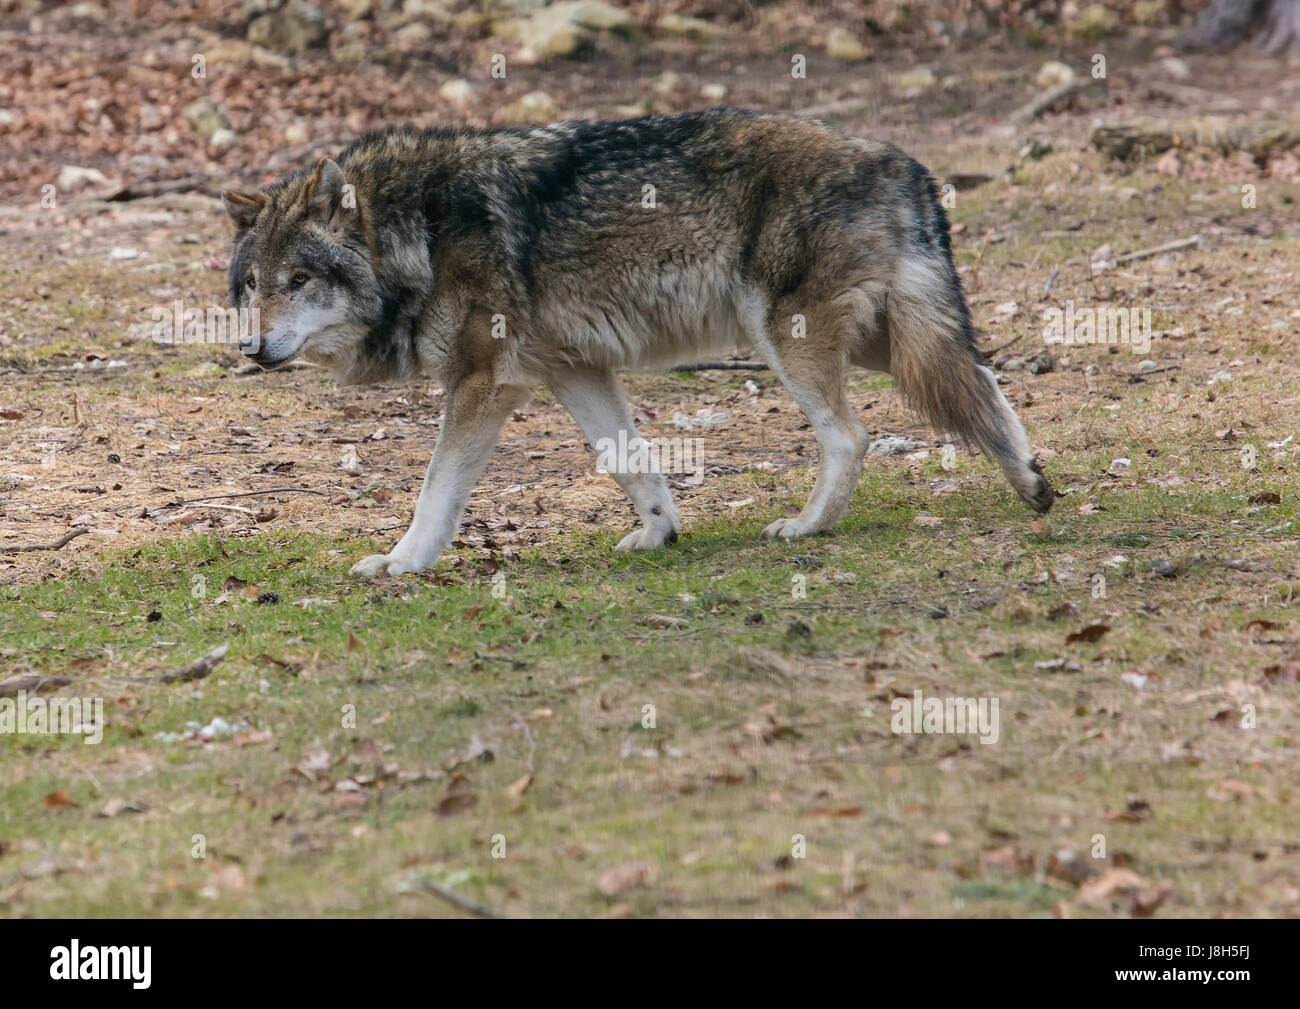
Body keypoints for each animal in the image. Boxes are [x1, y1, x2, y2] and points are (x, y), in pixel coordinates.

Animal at [221, 108, 1054, 577]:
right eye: (253, 284)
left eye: (300, 279)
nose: (252, 349)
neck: (417, 230)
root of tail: (903, 161)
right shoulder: (576, 371)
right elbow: (631, 462)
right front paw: (660, 533)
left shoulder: (485, 381)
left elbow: (435, 493)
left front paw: (401, 563)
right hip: (891, 339)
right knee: (985, 387)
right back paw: (1033, 483)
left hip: (791, 339)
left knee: (852, 435)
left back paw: (808, 525)